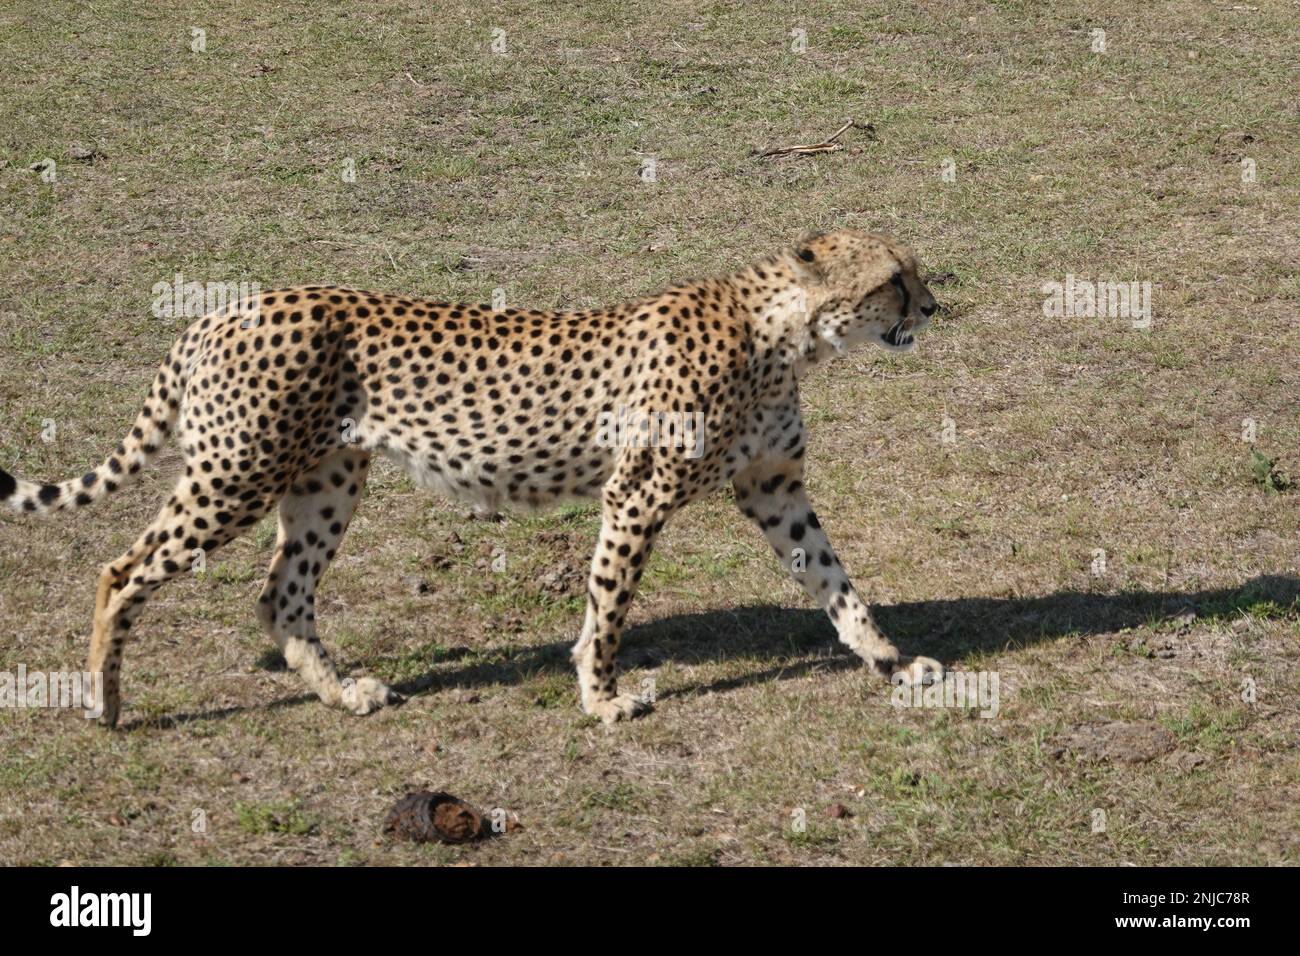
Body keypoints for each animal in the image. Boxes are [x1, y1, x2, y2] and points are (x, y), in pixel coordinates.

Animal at [0, 228, 943, 728]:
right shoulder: (637, 494)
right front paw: (602, 698)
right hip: (236, 474)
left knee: (281, 596)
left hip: (326, 481)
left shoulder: (774, 490)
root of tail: (224, 308)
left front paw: (890, 661)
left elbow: (837, 581)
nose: (934, 307)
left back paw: (343, 692)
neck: (781, 335)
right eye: (895, 280)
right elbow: (609, 606)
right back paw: (105, 701)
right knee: (121, 570)